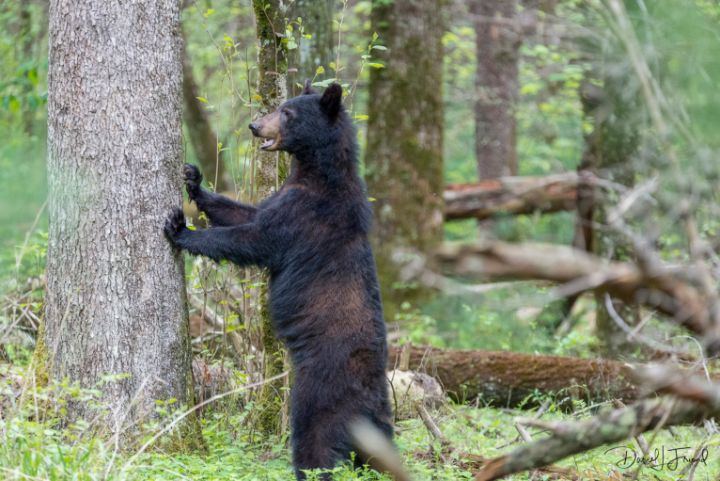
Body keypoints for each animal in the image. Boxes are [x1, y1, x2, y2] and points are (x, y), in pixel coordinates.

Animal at [164, 82, 394, 480]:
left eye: (287, 113)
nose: (256, 126)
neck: (317, 171)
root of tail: (370, 386)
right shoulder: (283, 198)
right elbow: (245, 212)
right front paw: (194, 180)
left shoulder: (305, 215)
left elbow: (253, 239)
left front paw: (181, 229)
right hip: (378, 418)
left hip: (318, 390)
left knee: (314, 441)